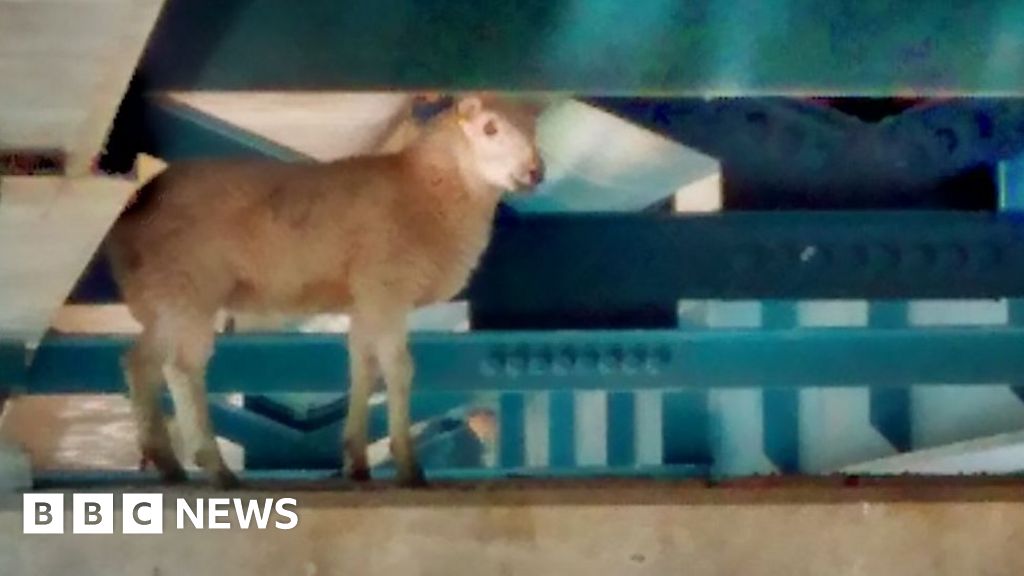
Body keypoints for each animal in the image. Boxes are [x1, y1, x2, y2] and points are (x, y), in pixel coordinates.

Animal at [106, 95, 545, 487]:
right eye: (489, 128)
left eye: (533, 128)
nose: (535, 171)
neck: (428, 186)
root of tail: (134, 206)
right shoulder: (387, 289)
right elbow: (399, 370)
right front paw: (408, 467)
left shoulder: (366, 299)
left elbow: (363, 369)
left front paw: (357, 463)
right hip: (190, 286)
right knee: (182, 368)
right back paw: (216, 470)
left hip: (165, 295)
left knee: (140, 362)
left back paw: (168, 464)